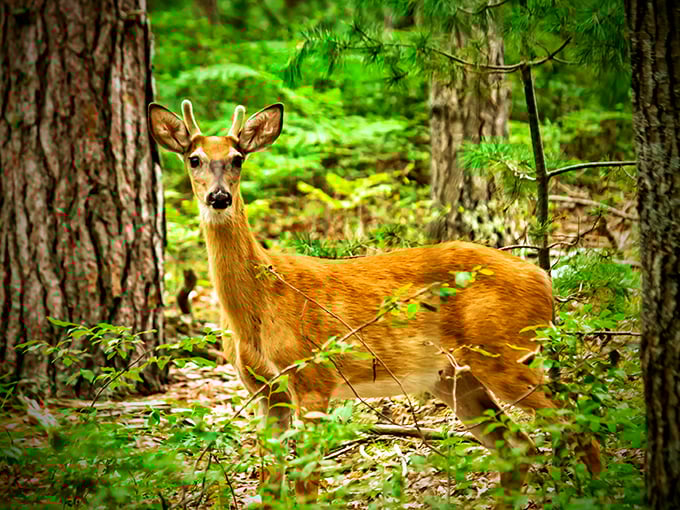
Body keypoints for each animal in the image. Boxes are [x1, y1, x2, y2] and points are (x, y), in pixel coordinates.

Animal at [147, 99, 602, 508]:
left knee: (578, 425)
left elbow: (305, 488)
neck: (258, 306)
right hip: (455, 377)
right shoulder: (266, 392)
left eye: (238, 159)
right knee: (519, 448)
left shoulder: (312, 378)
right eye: (194, 159)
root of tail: (544, 281)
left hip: (504, 352)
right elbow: (270, 487)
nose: (219, 198)